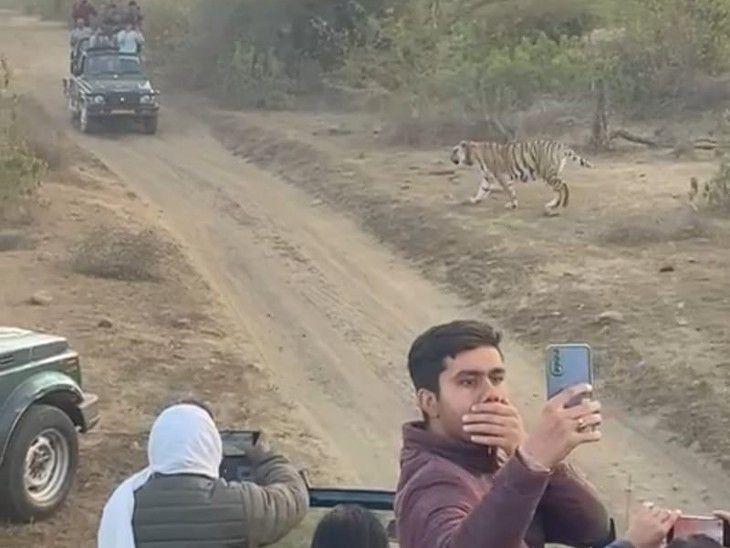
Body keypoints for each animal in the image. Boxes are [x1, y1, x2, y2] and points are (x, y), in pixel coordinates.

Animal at [449, 139, 594, 216]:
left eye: (454, 151)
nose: (450, 158)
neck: (475, 156)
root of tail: (561, 145)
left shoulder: (501, 176)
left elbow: (508, 191)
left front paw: (512, 204)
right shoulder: (488, 178)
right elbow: (482, 190)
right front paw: (475, 200)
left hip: (547, 173)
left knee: (561, 186)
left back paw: (556, 205)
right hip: (551, 173)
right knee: (562, 185)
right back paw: (559, 204)